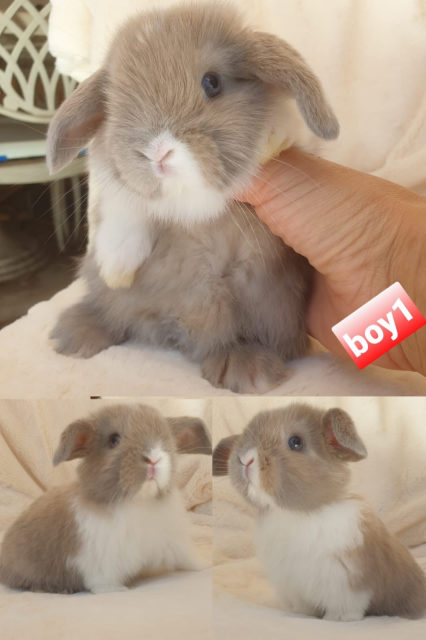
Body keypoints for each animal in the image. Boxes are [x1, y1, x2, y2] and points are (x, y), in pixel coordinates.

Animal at [0, 404, 211, 594]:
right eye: (114, 440)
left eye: (167, 437)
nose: (153, 458)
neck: (139, 501)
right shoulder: (99, 559)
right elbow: (102, 580)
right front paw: (118, 590)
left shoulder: (174, 541)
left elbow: (188, 559)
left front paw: (205, 565)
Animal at [46, 2, 340, 394]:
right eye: (113, 102)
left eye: (212, 82)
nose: (156, 153)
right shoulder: (115, 185)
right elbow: (125, 207)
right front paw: (117, 269)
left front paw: (268, 139)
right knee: (112, 313)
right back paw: (77, 334)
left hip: (261, 305)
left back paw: (244, 368)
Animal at [213, 404, 426, 620]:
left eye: (296, 442)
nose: (245, 459)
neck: (296, 513)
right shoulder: (294, 585)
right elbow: (304, 608)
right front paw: (302, 614)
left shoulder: (346, 583)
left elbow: (344, 608)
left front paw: (336, 619)